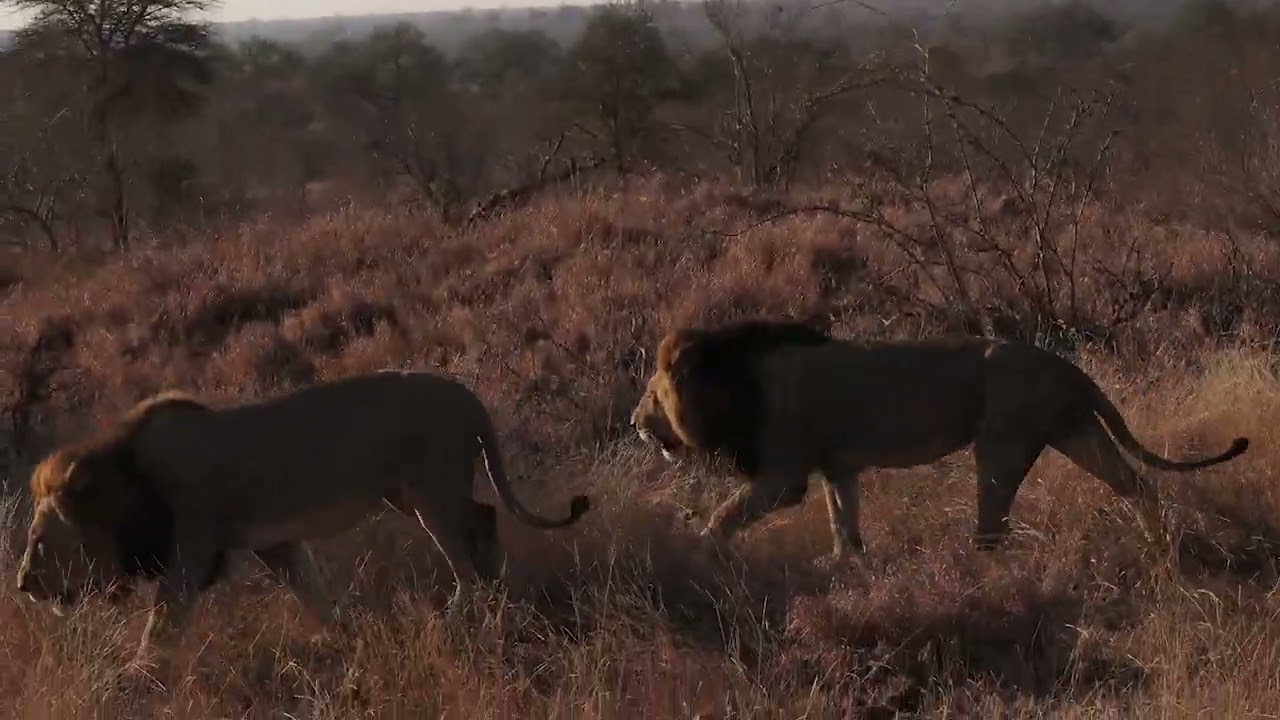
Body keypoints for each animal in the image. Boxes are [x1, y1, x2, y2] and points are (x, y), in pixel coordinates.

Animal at [15, 370, 590, 684]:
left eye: (39, 541)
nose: (22, 585)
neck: (127, 476)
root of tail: (469, 397)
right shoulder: (274, 542)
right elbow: (310, 591)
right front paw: (346, 637)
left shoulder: (196, 542)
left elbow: (164, 615)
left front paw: (137, 675)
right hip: (414, 495)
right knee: (484, 519)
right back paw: (498, 591)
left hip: (432, 493)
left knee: (467, 547)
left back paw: (464, 613)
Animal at [630, 318, 1249, 556]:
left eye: (651, 393)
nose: (635, 423)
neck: (734, 378)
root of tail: (1065, 366)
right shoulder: (838, 468)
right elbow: (844, 525)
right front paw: (848, 569)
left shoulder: (784, 476)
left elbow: (728, 512)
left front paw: (700, 550)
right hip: (1075, 431)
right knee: (1136, 483)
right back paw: (1161, 546)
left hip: (1000, 445)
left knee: (993, 525)